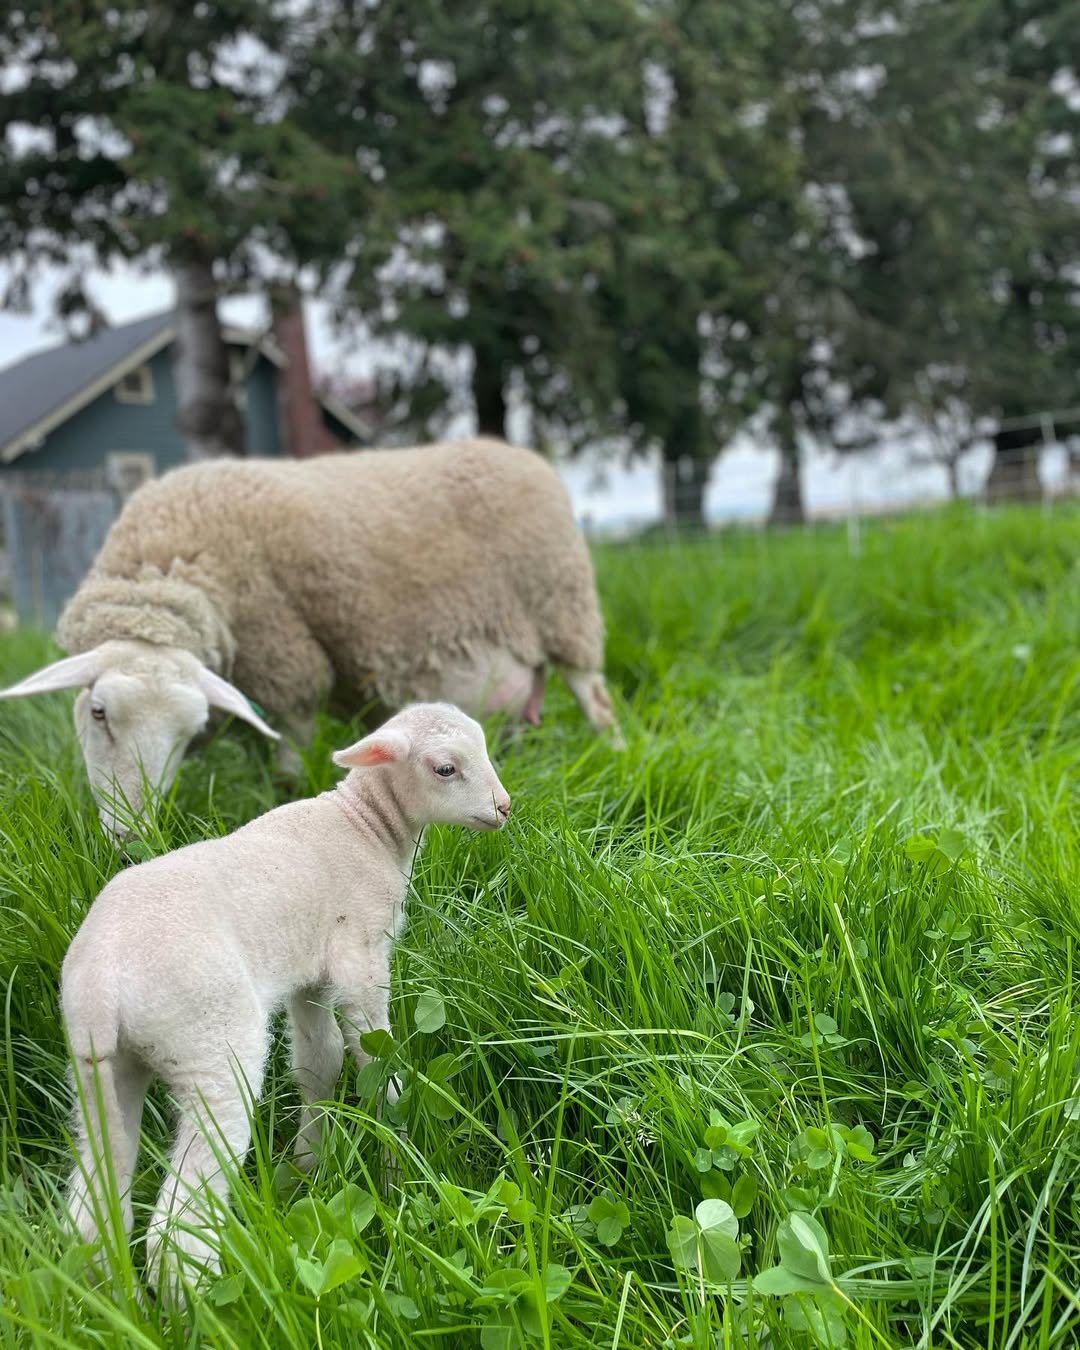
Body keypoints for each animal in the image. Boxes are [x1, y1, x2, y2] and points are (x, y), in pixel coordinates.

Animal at [0, 437, 621, 837]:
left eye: (189, 728)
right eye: (98, 712)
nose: (131, 833)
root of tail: (523, 455)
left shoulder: (288, 664)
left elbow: (289, 760)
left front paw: (283, 799)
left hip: (566, 613)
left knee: (597, 701)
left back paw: (616, 754)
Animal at [62, 701, 510, 1296]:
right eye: (445, 769)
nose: (504, 808)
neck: (367, 825)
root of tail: (102, 985)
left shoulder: (310, 976)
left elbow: (320, 1062)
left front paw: (308, 1166)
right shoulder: (359, 955)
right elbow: (375, 1058)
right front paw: (397, 1161)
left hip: (100, 1069)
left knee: (92, 1212)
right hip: (212, 1043)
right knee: (177, 1232)